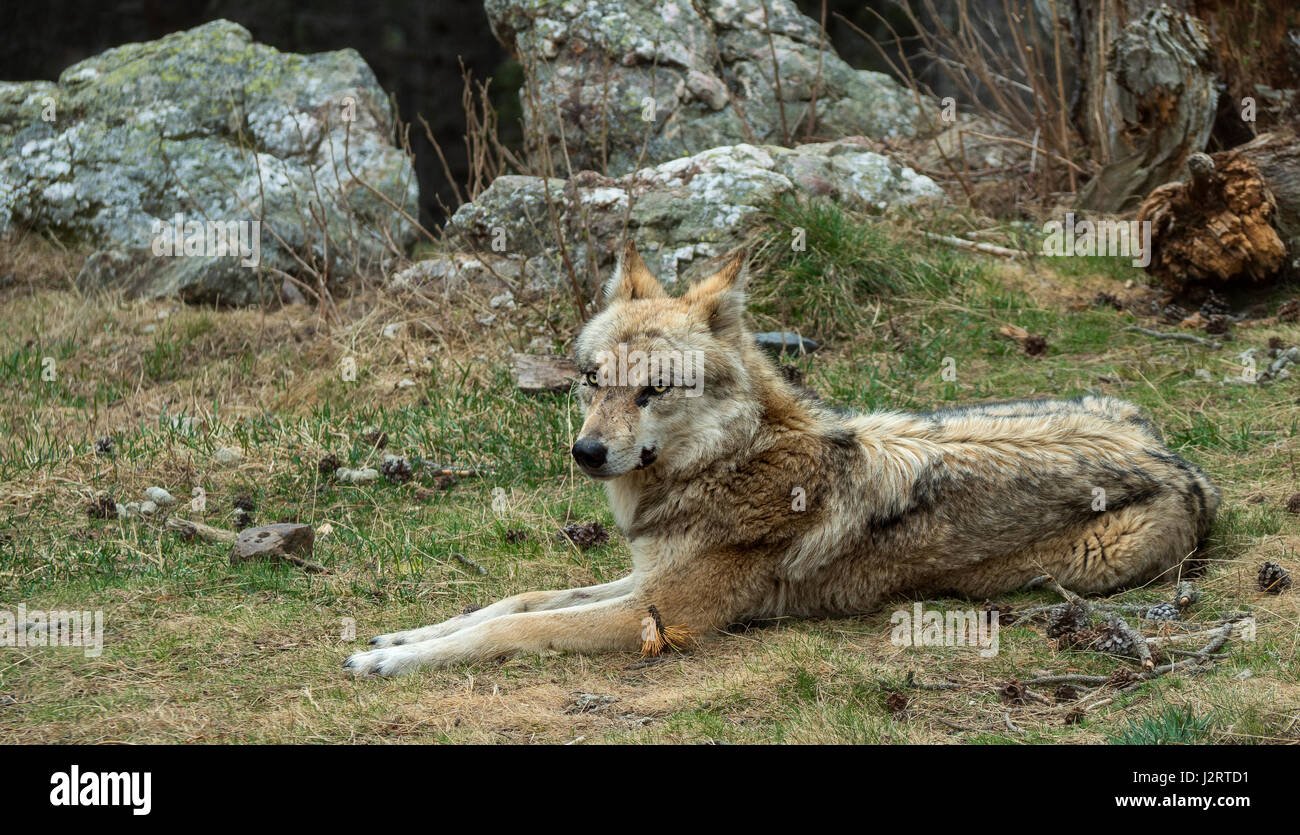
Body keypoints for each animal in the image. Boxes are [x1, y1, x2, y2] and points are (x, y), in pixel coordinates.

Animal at [345, 242, 1219, 676]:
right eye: (593, 380)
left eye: (654, 389)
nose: (587, 451)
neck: (725, 466)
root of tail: (1182, 463)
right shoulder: (643, 576)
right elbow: (517, 599)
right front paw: (398, 637)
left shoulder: (660, 613)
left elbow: (517, 629)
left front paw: (392, 662)